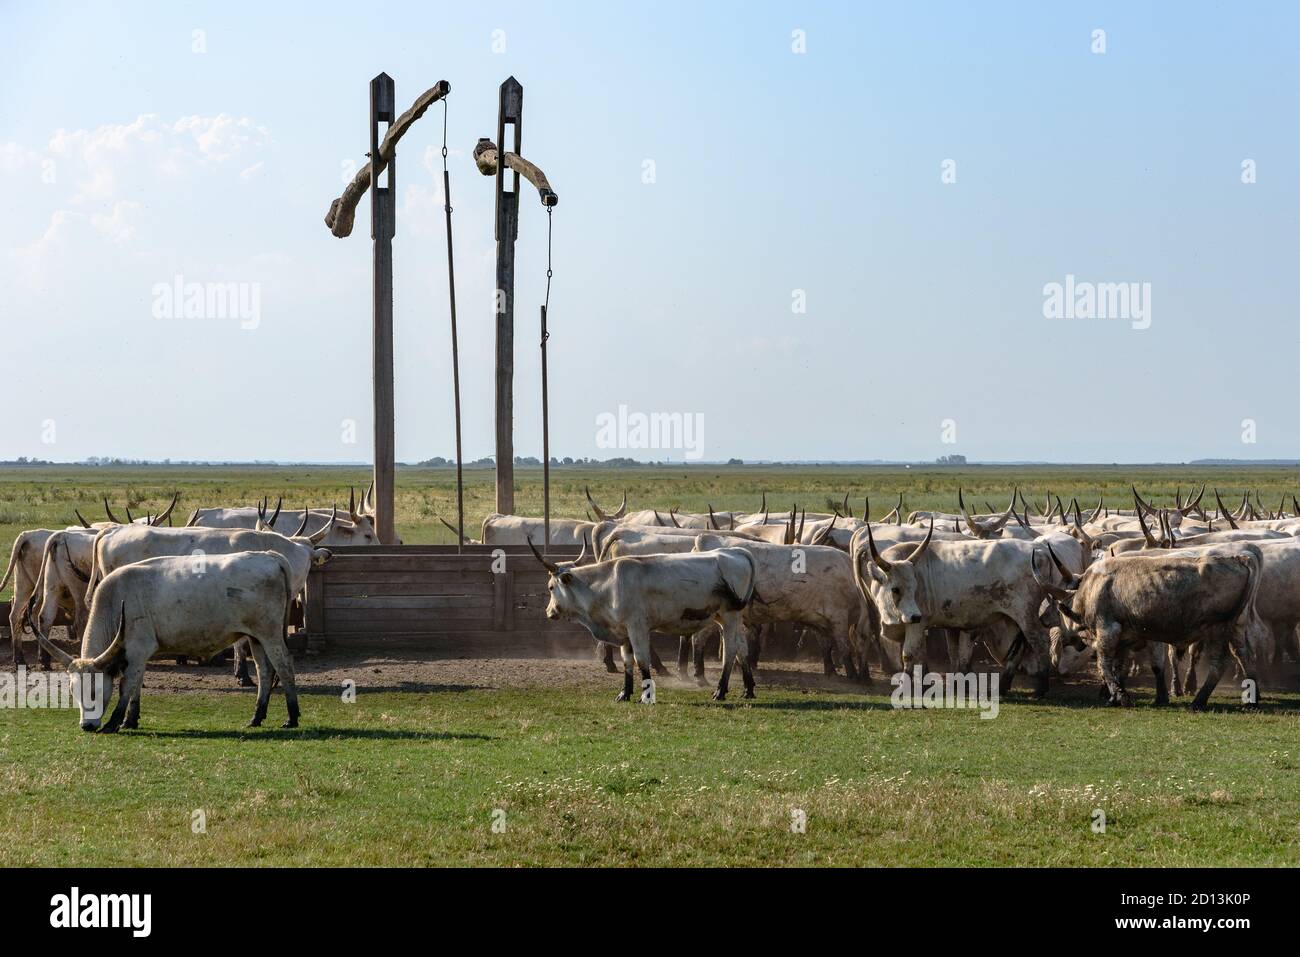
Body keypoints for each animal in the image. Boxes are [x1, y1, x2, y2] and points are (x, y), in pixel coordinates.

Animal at [32, 551, 300, 732]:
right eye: (73, 690)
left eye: (95, 690)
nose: (86, 726)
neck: (116, 602)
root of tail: (270, 556)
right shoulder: (136, 655)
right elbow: (136, 685)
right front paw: (131, 720)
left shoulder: (138, 650)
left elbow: (127, 686)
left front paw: (114, 722)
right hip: (256, 637)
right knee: (264, 672)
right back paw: (257, 717)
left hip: (270, 633)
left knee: (285, 667)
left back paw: (292, 717)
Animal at [527, 537, 759, 702]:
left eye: (550, 587)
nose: (549, 612)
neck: (609, 584)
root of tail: (737, 552)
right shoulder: (624, 631)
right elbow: (627, 661)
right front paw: (624, 693)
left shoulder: (637, 627)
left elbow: (641, 660)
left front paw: (645, 694)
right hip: (727, 618)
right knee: (742, 648)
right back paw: (748, 689)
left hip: (729, 616)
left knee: (730, 651)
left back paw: (720, 691)